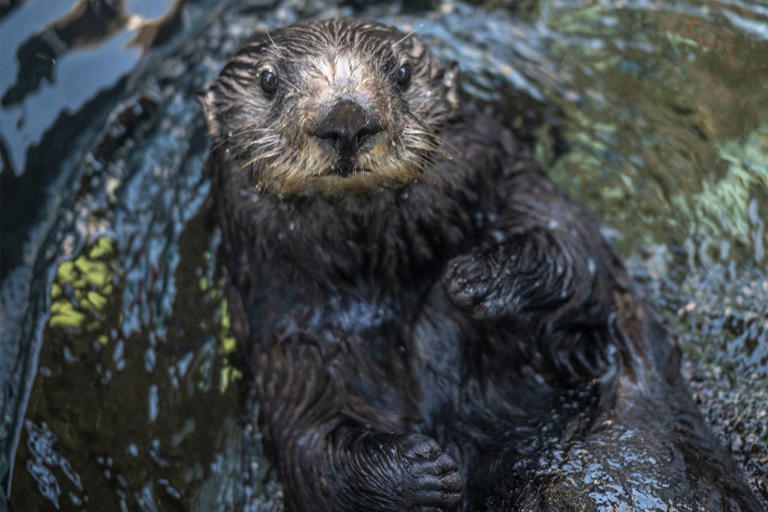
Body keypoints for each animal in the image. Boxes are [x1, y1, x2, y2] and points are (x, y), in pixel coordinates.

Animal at [198, 18, 762, 512]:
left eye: (402, 71)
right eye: (267, 80)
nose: (346, 119)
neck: (388, 289)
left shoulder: (516, 186)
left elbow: (575, 260)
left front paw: (475, 280)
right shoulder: (291, 340)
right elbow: (309, 446)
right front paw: (423, 471)